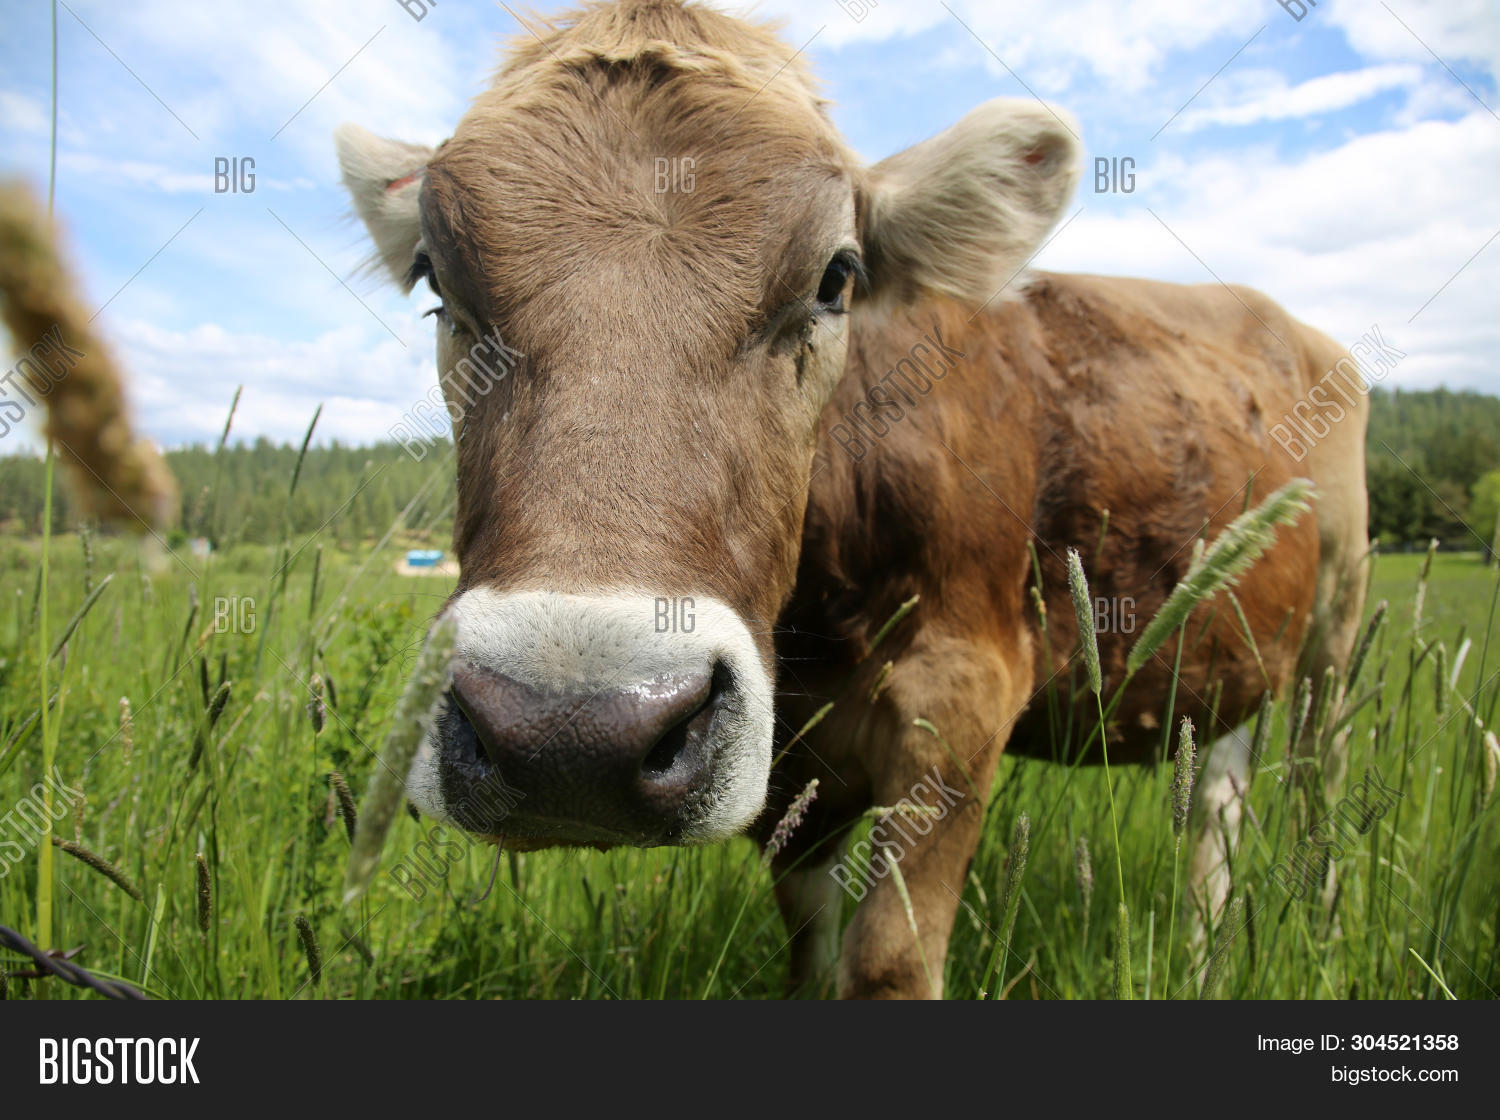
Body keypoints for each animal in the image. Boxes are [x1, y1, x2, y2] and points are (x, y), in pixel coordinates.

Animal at [336, 0, 1368, 998]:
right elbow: (810, 949)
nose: (571, 736)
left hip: (1337, 625)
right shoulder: (796, 759)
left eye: (837, 276)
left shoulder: (962, 691)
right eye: (434, 277)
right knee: (1219, 802)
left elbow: (888, 963)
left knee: (1314, 780)